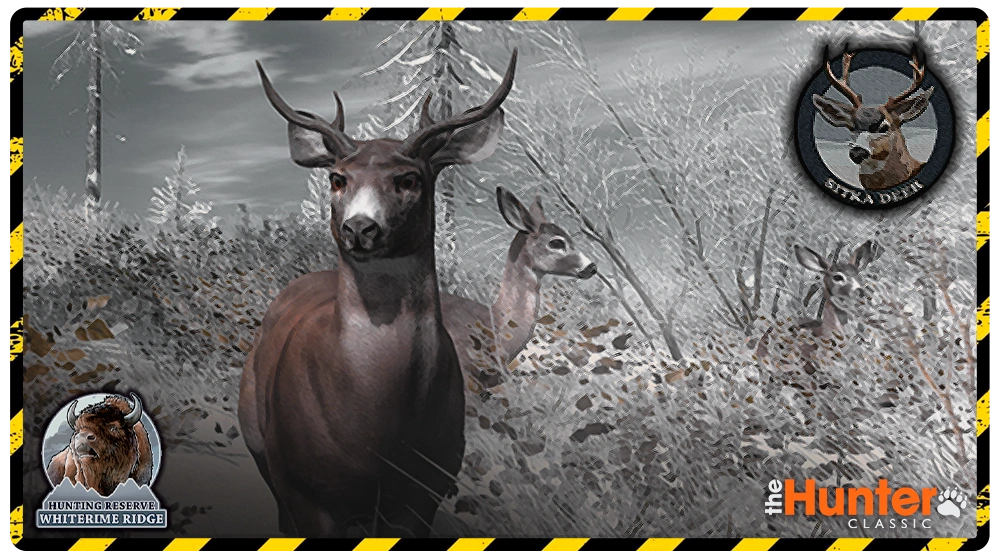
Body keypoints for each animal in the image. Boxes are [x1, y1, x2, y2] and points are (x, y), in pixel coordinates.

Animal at [238, 49, 518, 537]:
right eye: (337, 179)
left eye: (409, 179)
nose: (360, 228)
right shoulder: (306, 490)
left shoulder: (424, 492)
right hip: (260, 446)